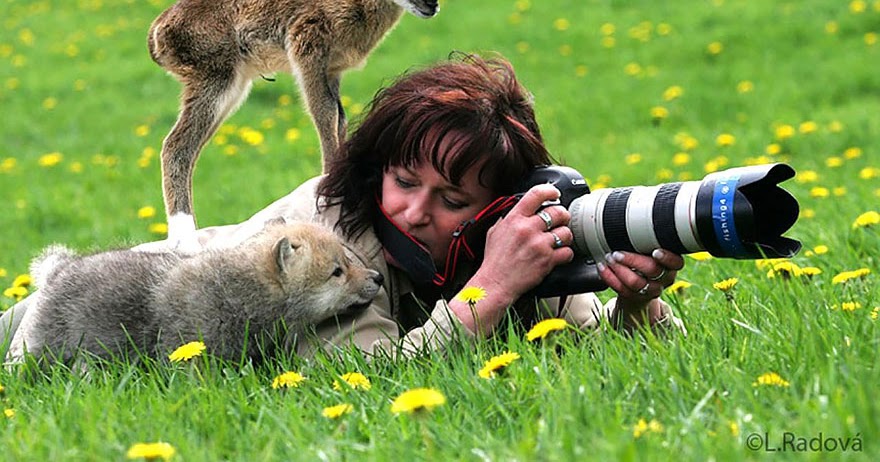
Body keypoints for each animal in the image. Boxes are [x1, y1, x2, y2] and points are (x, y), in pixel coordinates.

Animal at [4, 220, 383, 368]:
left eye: (349, 259)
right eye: (337, 272)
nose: (378, 277)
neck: (240, 289)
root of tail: (59, 268)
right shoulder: (188, 350)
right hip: (43, 348)